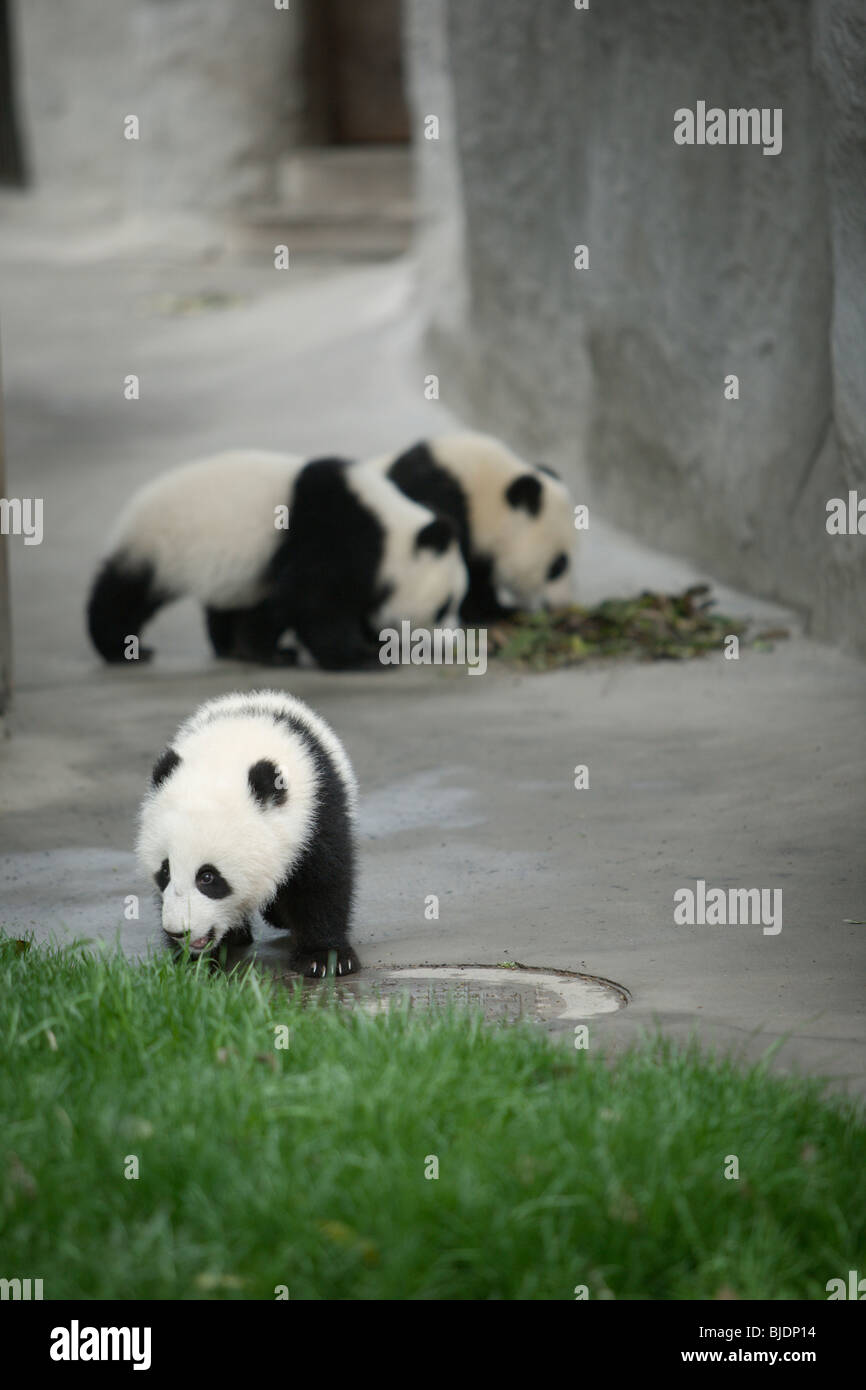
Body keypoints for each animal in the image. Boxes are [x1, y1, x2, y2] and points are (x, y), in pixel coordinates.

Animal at [87, 449, 467, 670]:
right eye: (443, 608)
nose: (450, 641)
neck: (388, 530)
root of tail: (134, 505)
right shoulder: (332, 533)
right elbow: (313, 601)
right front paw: (361, 656)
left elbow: (280, 602)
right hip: (159, 543)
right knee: (125, 592)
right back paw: (121, 649)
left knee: (228, 602)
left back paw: (229, 646)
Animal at [137, 689, 359, 978]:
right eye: (165, 871)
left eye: (207, 877)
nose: (178, 931)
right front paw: (192, 965)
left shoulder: (317, 809)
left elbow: (322, 880)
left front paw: (325, 959)